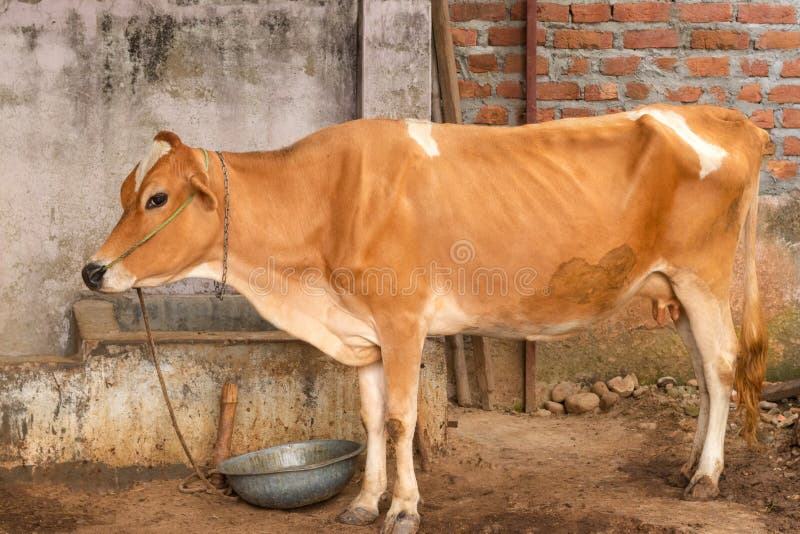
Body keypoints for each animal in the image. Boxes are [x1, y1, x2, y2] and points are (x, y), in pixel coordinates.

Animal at [82, 104, 770, 534]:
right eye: (126, 195)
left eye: (157, 198)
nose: (92, 271)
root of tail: (729, 118)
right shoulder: (360, 332)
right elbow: (368, 417)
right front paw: (365, 503)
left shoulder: (402, 320)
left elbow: (399, 419)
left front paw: (404, 509)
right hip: (673, 288)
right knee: (704, 375)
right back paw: (688, 466)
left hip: (704, 279)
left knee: (721, 368)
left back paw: (708, 477)